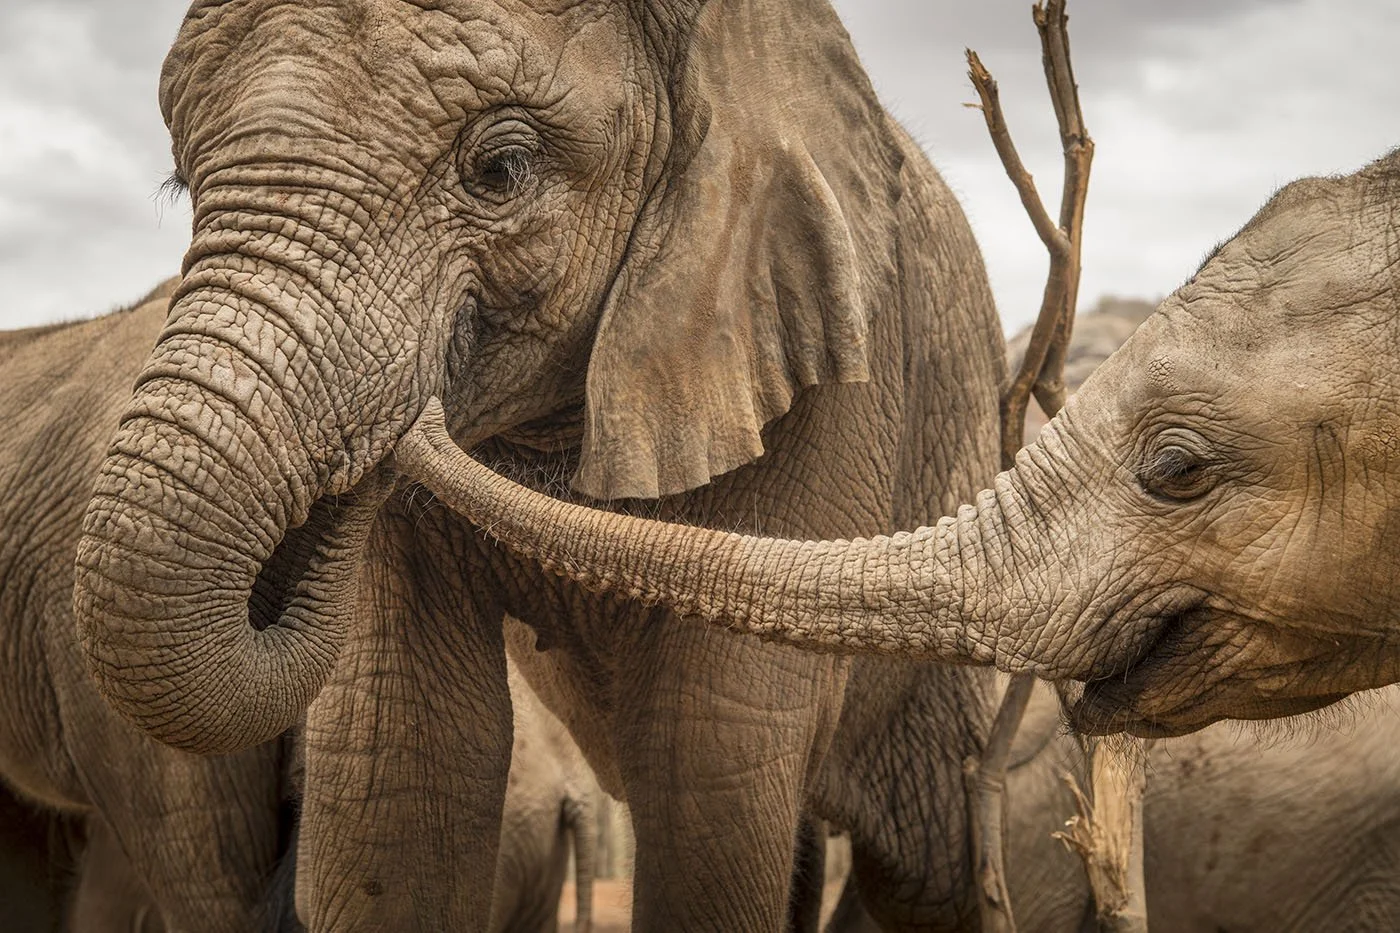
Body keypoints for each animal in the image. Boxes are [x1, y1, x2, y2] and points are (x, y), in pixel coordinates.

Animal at [64, 0, 1014, 929]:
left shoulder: (828, 349)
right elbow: (405, 753)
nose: (381, 444)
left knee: (932, 872)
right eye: (183, 184)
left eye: (503, 167)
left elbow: (710, 752)